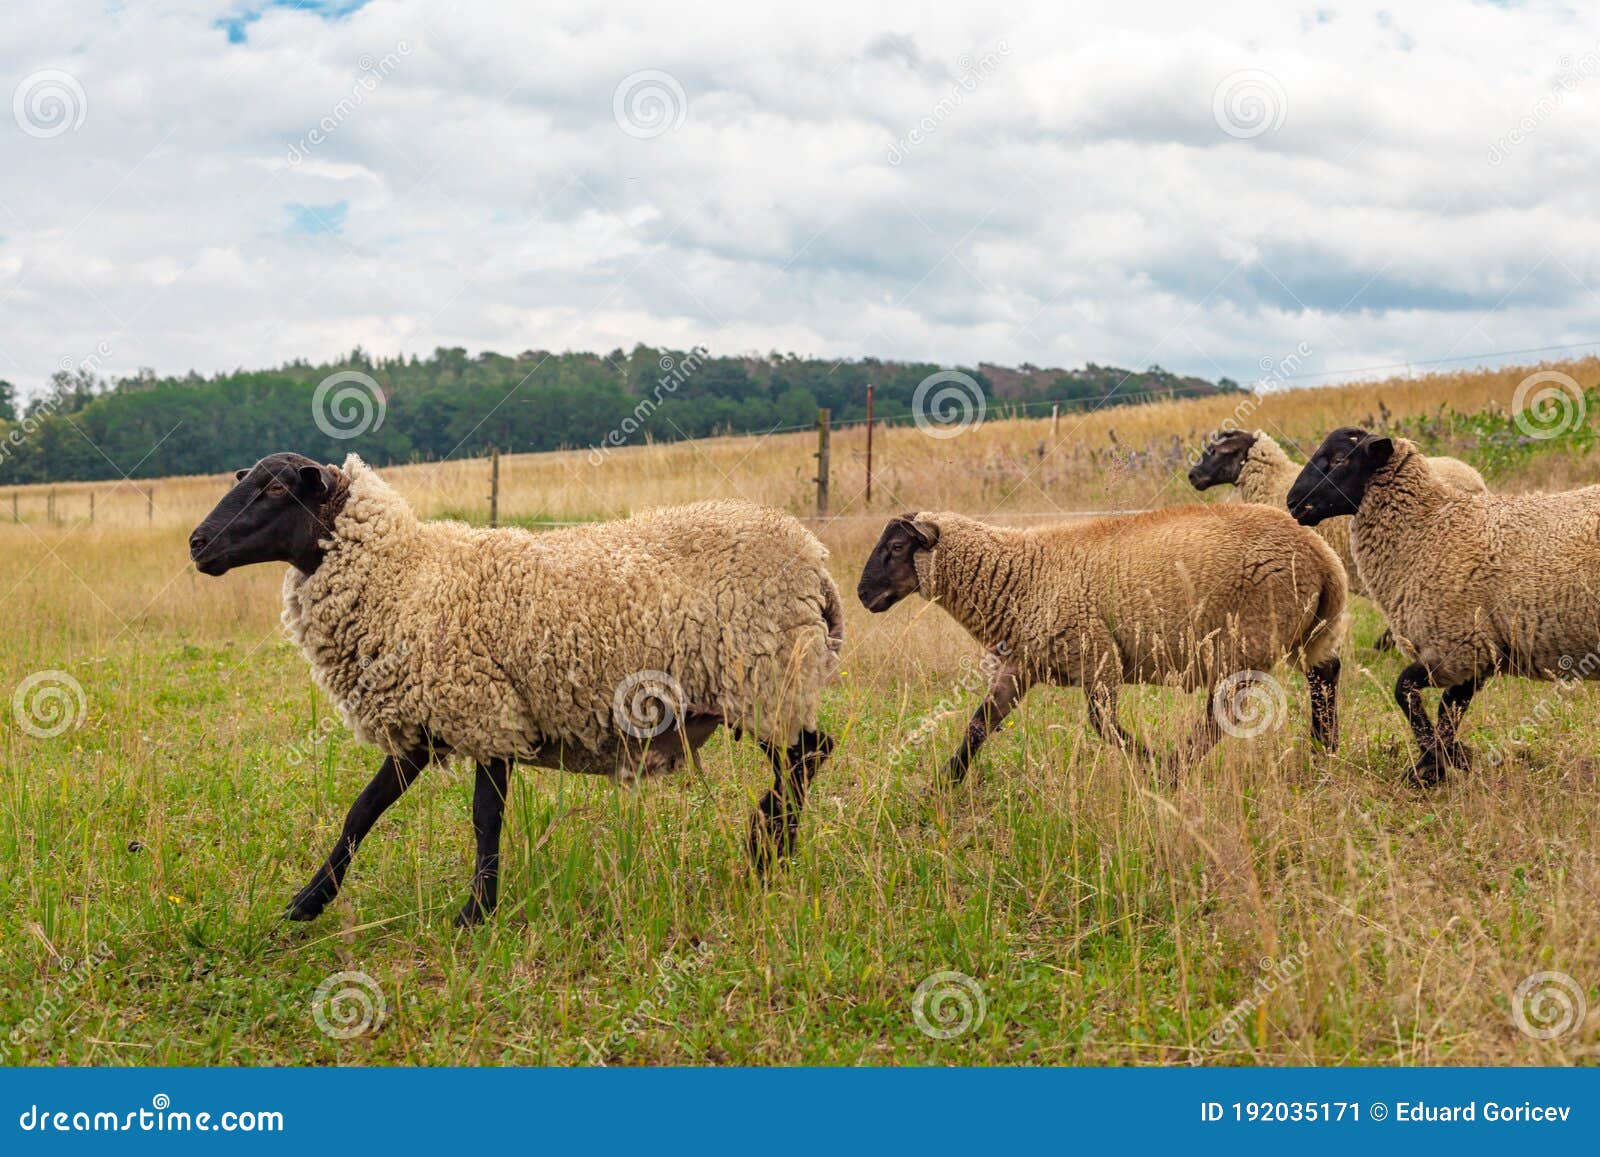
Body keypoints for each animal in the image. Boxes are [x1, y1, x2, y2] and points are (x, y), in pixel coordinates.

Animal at [188, 451, 843, 925]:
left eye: (277, 491)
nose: (197, 544)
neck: (408, 577)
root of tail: (816, 559)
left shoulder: (486, 714)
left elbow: (485, 818)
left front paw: (476, 913)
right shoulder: (424, 725)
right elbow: (363, 810)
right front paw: (305, 903)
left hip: (767, 681)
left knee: (807, 757)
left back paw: (767, 851)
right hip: (766, 689)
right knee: (808, 757)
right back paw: (771, 851)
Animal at [855, 504, 1346, 781]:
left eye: (896, 546)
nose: (861, 595)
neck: (1022, 574)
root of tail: (1323, 556)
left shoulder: (1098, 658)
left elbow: (1102, 724)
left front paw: (1149, 763)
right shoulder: (1023, 664)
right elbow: (980, 723)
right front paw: (944, 785)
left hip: (1248, 637)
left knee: (1221, 713)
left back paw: (1175, 769)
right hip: (1308, 632)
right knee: (1325, 674)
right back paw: (1325, 749)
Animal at [1288, 426, 1600, 785]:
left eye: (1339, 459)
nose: (1292, 502)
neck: (1426, 528)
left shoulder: (1457, 646)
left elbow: (1405, 690)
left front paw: (1438, 760)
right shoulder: (1481, 653)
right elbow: (1448, 711)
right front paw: (1441, 763)